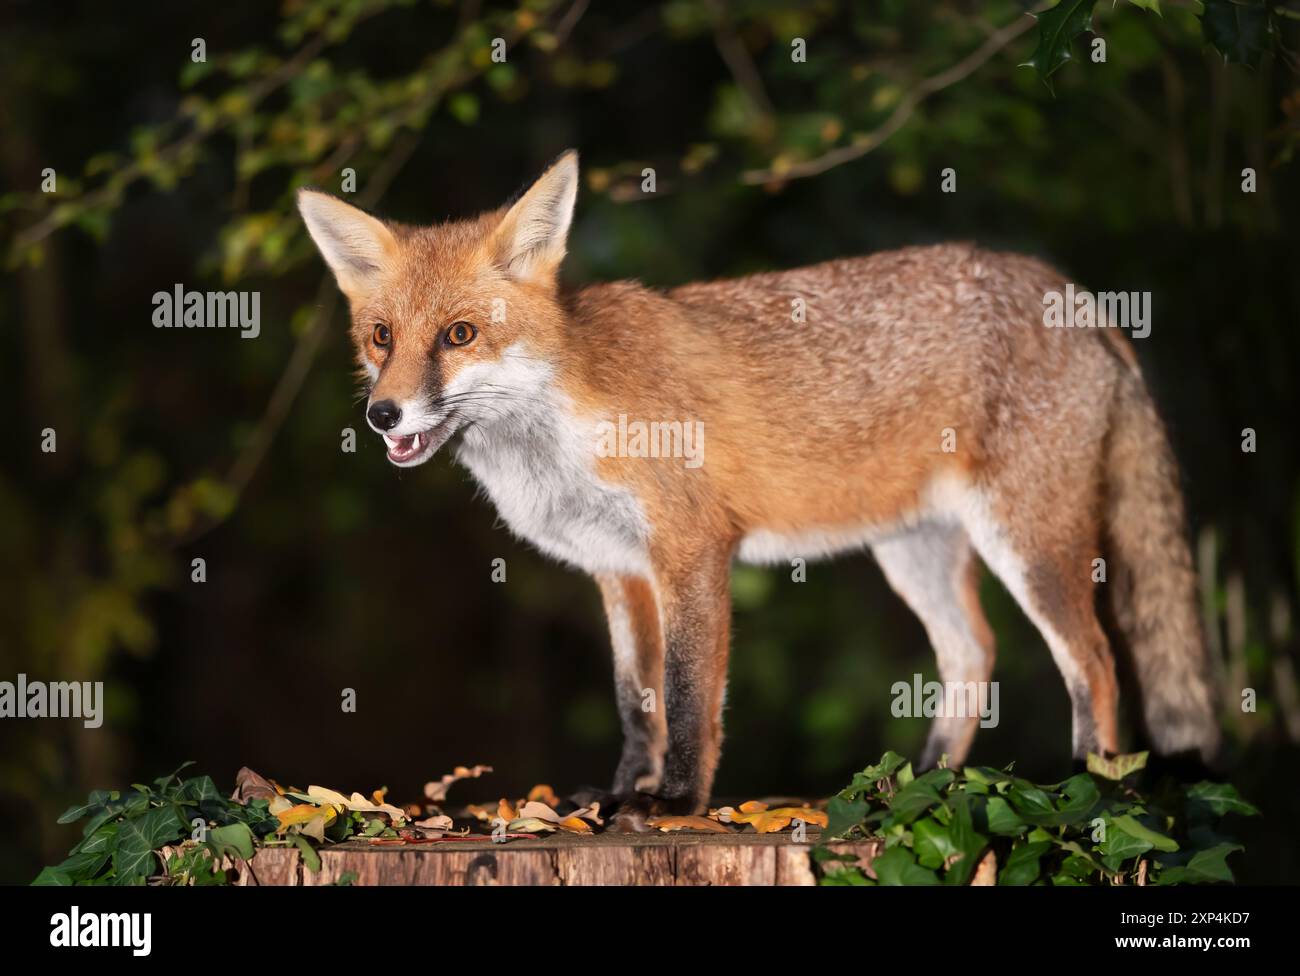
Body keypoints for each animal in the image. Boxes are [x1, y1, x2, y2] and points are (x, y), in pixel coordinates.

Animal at [298, 150, 1222, 829]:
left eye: (459, 335)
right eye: (381, 338)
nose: (382, 414)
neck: (561, 425)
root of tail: (1075, 294)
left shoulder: (691, 551)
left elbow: (687, 696)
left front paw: (674, 801)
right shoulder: (619, 570)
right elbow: (636, 702)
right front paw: (618, 796)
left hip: (1029, 542)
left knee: (1095, 661)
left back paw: (1093, 789)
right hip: (914, 552)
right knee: (974, 654)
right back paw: (922, 789)